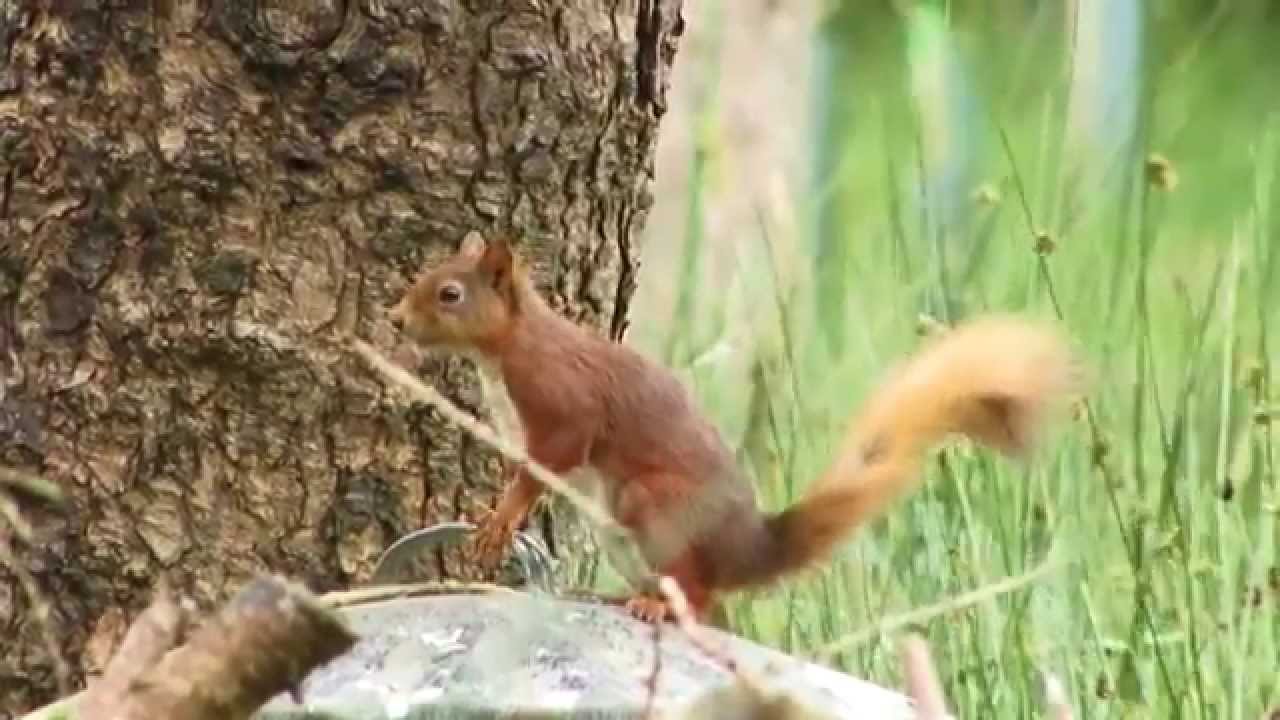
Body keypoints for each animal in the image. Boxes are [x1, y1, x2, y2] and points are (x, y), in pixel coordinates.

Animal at [388, 233, 1081, 623]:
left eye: (449, 294)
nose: (396, 319)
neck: (508, 347)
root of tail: (746, 548)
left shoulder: (564, 402)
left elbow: (547, 462)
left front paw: (502, 520)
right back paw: (625, 599)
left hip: (652, 505)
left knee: (700, 596)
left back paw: (653, 606)